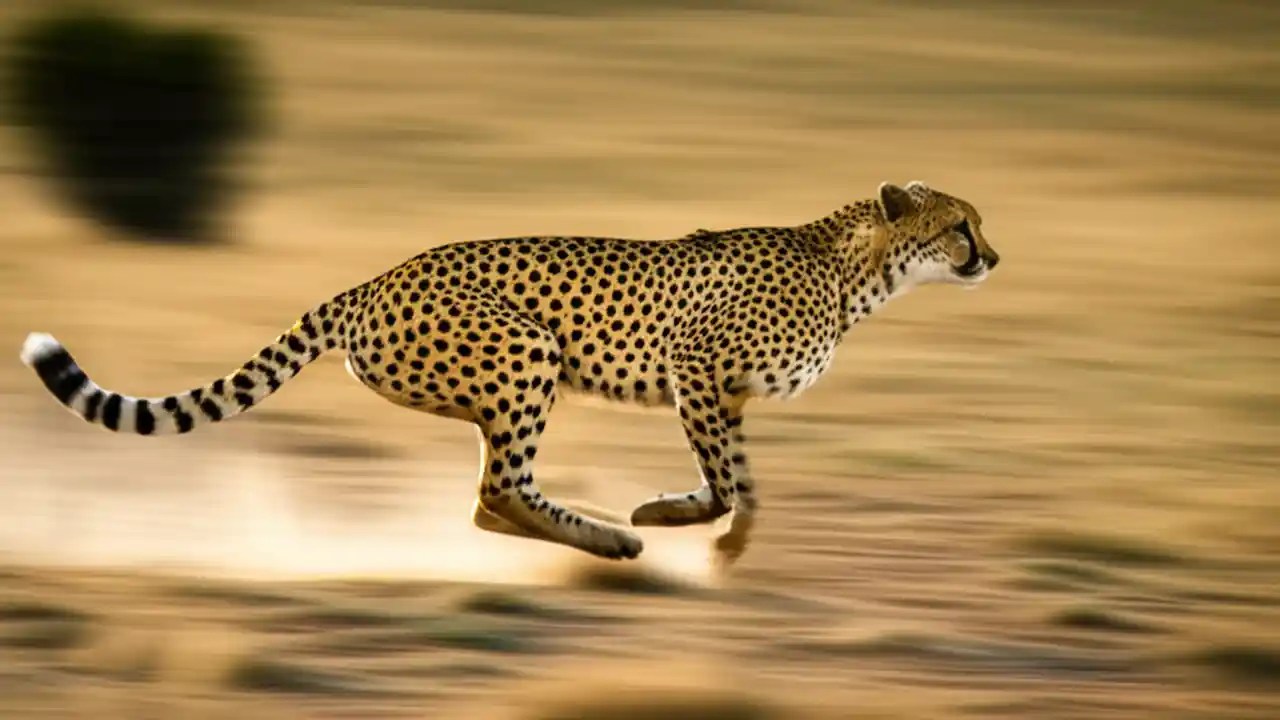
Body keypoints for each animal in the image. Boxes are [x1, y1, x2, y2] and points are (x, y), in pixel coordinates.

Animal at [21, 181, 999, 564]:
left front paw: (682, 517)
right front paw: (701, 531)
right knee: (497, 492)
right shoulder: (695, 366)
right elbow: (734, 484)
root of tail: (383, 273)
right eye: (961, 225)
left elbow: (736, 476)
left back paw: (607, 535)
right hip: (528, 351)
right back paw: (613, 537)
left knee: (492, 500)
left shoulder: (720, 392)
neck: (854, 269)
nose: (992, 257)